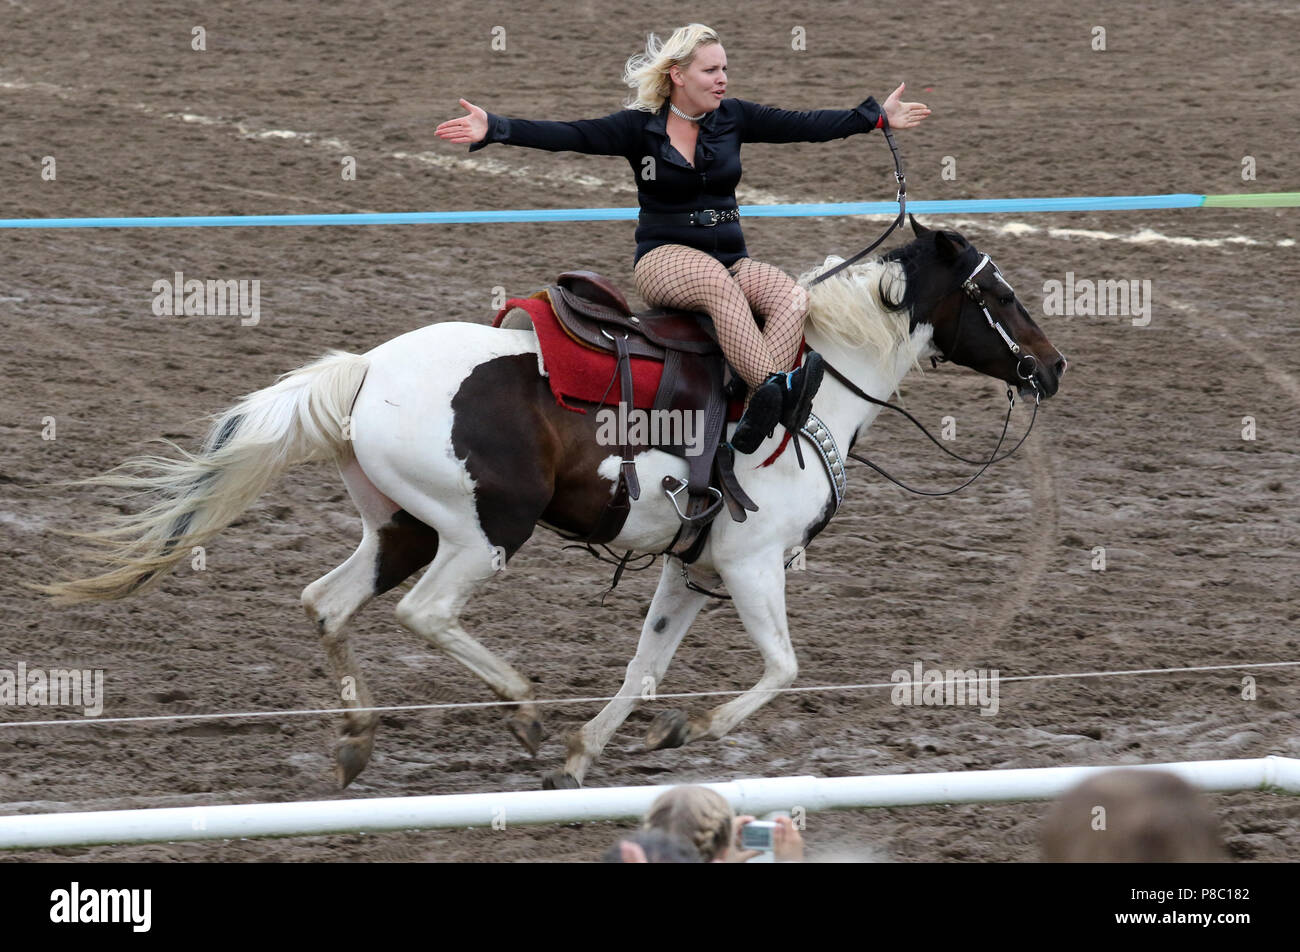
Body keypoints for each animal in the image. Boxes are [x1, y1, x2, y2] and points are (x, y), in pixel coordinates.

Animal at [48, 217, 1066, 790]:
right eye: (1001, 292)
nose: (1052, 369)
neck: (805, 386)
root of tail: (368, 368)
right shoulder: (750, 563)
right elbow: (782, 668)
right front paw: (685, 729)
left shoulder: (692, 570)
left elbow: (644, 668)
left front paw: (592, 750)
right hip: (480, 533)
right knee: (426, 615)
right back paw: (522, 708)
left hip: (400, 530)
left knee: (325, 603)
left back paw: (359, 743)